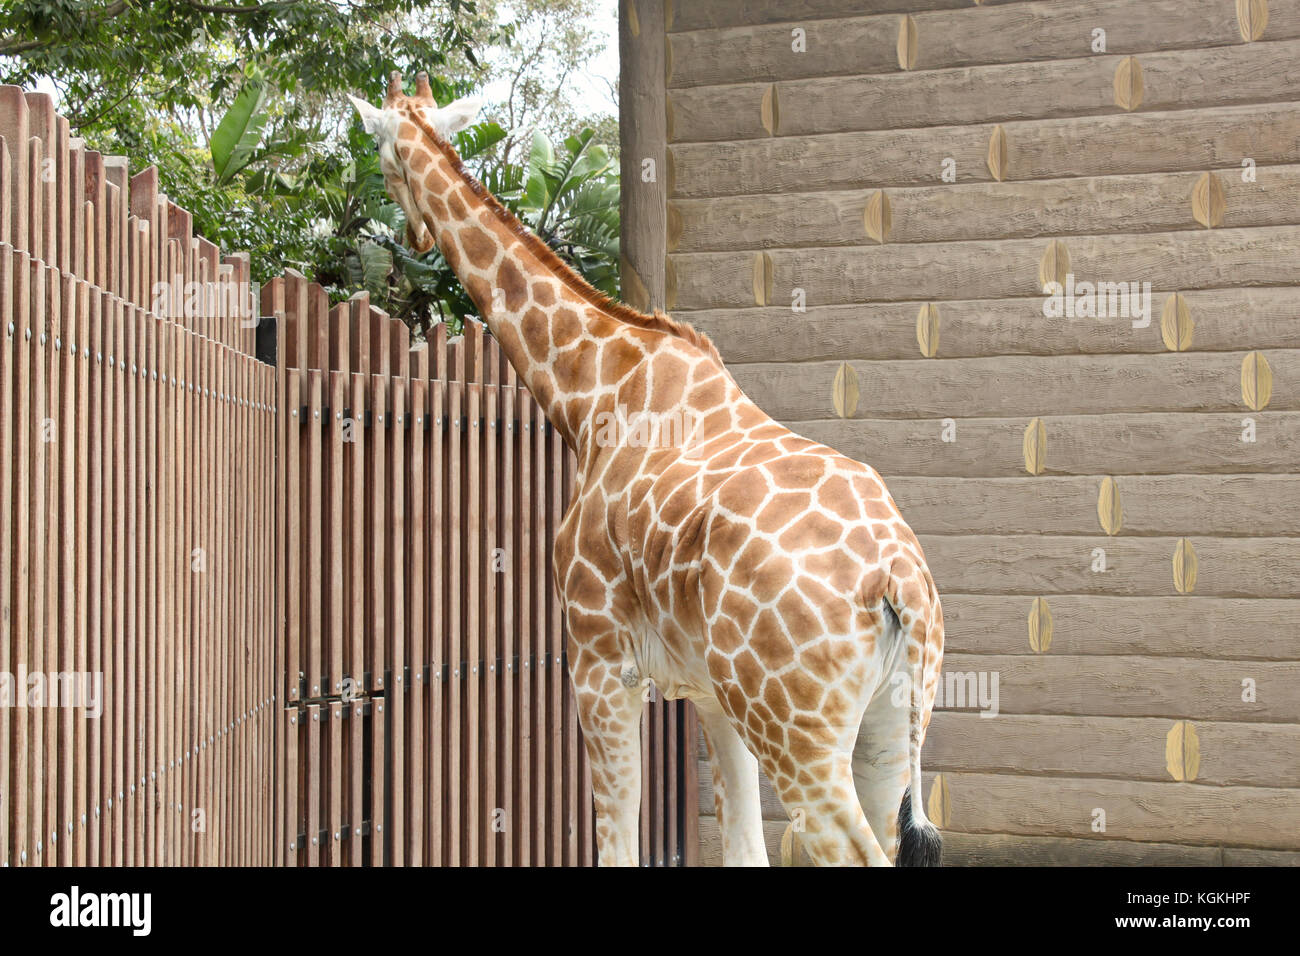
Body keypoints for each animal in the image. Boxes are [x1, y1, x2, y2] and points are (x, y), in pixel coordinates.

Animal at [350, 72, 945, 867]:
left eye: (381, 154)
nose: (408, 236)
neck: (592, 393)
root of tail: (899, 579)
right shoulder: (709, 691)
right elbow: (743, 846)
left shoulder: (598, 656)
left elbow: (617, 840)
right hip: (885, 724)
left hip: (797, 730)